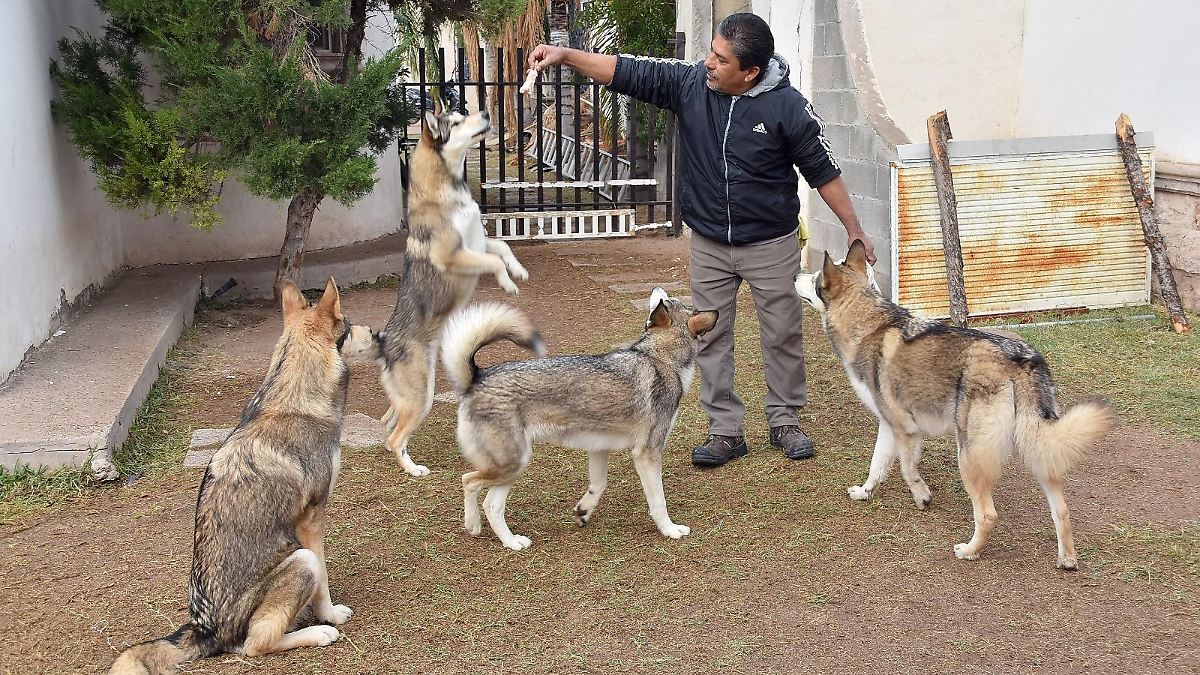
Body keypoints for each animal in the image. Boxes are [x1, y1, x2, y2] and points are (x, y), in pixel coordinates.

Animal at [109, 278, 374, 674]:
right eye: (350, 324)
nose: (375, 332)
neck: (297, 399)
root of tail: (203, 630)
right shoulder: (312, 520)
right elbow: (324, 582)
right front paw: (329, 615)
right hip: (301, 561)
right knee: (254, 644)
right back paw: (317, 633)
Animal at [374, 100, 529, 477]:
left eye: (464, 113)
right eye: (457, 122)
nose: (486, 113)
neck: (448, 193)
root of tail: (385, 343)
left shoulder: (477, 243)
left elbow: (503, 247)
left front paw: (518, 271)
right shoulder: (457, 256)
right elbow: (494, 261)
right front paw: (506, 283)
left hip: (411, 397)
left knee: (387, 422)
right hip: (420, 399)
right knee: (395, 436)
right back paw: (412, 468)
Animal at [441, 290, 718, 550]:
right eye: (668, 301)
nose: (658, 290)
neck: (659, 358)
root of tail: (477, 377)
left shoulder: (599, 448)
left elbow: (598, 484)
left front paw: (583, 511)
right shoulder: (647, 454)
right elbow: (658, 501)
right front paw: (669, 530)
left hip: (513, 466)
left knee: (490, 503)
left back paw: (505, 539)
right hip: (513, 462)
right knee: (470, 482)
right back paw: (479, 527)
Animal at [794, 241, 1115, 569]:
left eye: (814, 278)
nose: (794, 275)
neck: (869, 324)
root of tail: (1020, 357)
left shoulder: (905, 429)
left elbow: (907, 469)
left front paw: (922, 497)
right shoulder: (888, 425)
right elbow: (876, 466)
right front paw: (864, 493)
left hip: (969, 455)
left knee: (987, 515)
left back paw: (970, 551)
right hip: (1037, 452)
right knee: (1061, 509)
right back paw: (1067, 558)